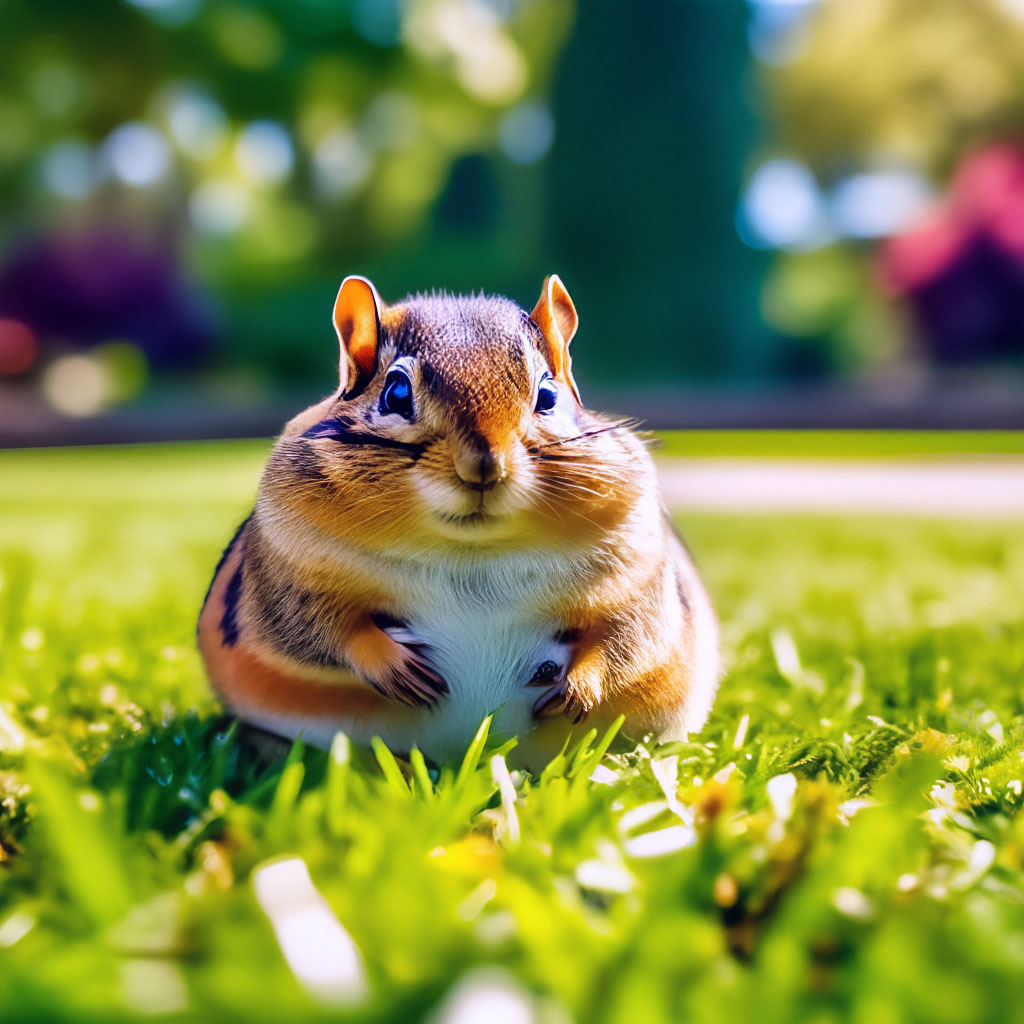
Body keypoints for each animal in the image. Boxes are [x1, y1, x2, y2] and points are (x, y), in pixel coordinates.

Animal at [198, 275, 719, 765]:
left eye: (547, 396)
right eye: (396, 392)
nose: (485, 465)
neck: (473, 550)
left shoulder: (637, 579)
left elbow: (629, 639)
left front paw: (579, 687)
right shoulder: (289, 578)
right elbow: (315, 631)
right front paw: (392, 666)